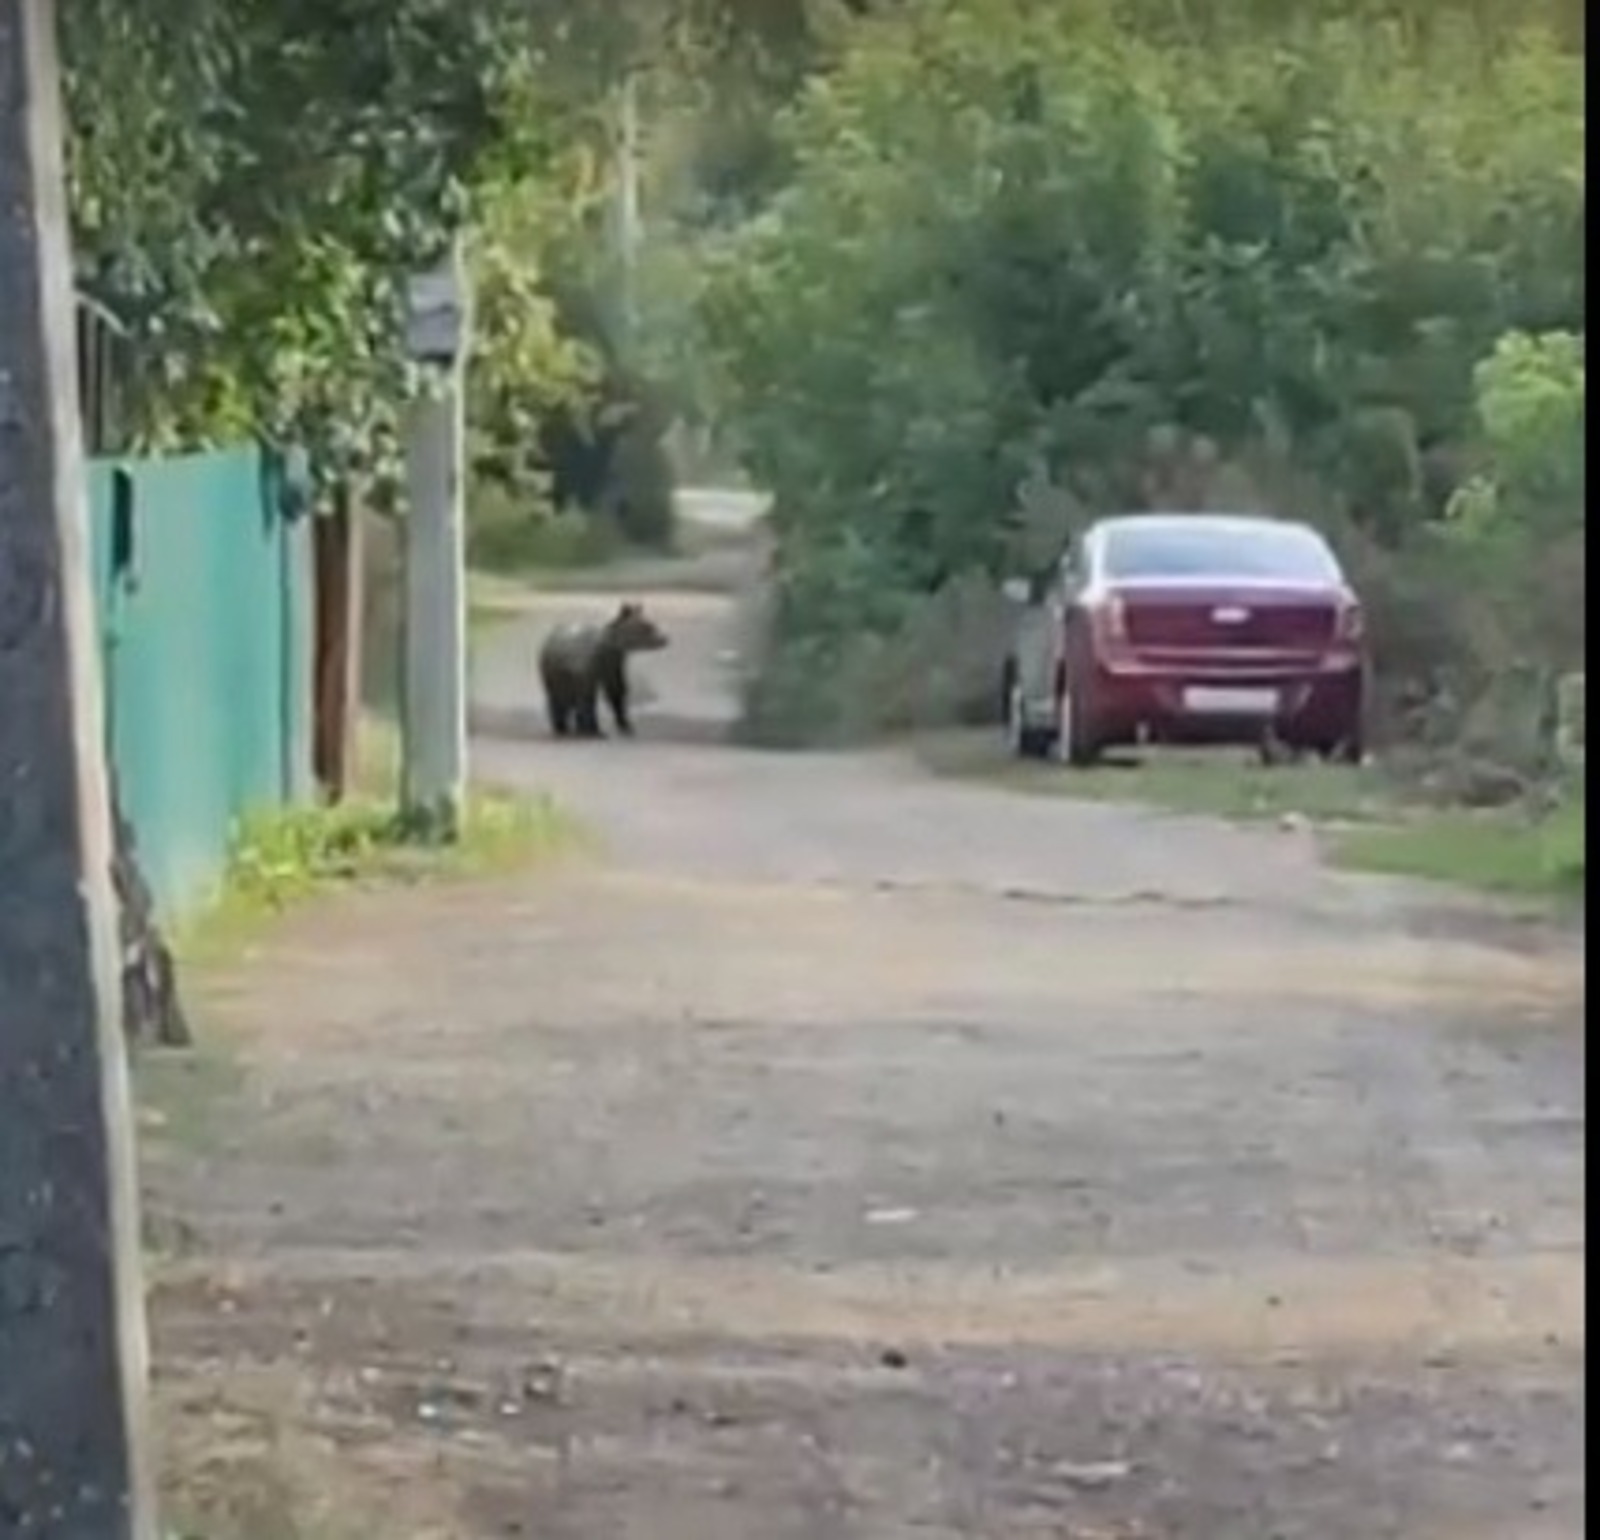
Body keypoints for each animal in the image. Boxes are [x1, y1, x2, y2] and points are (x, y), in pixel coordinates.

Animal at [534, 601, 665, 739]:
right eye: (648, 626)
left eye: (651, 623)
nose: (665, 638)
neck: (609, 647)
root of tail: (548, 638)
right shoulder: (589, 666)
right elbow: (588, 697)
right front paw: (594, 729)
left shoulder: (613, 664)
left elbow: (616, 689)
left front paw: (625, 724)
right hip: (554, 669)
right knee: (559, 697)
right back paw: (562, 726)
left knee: (569, 698)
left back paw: (575, 726)